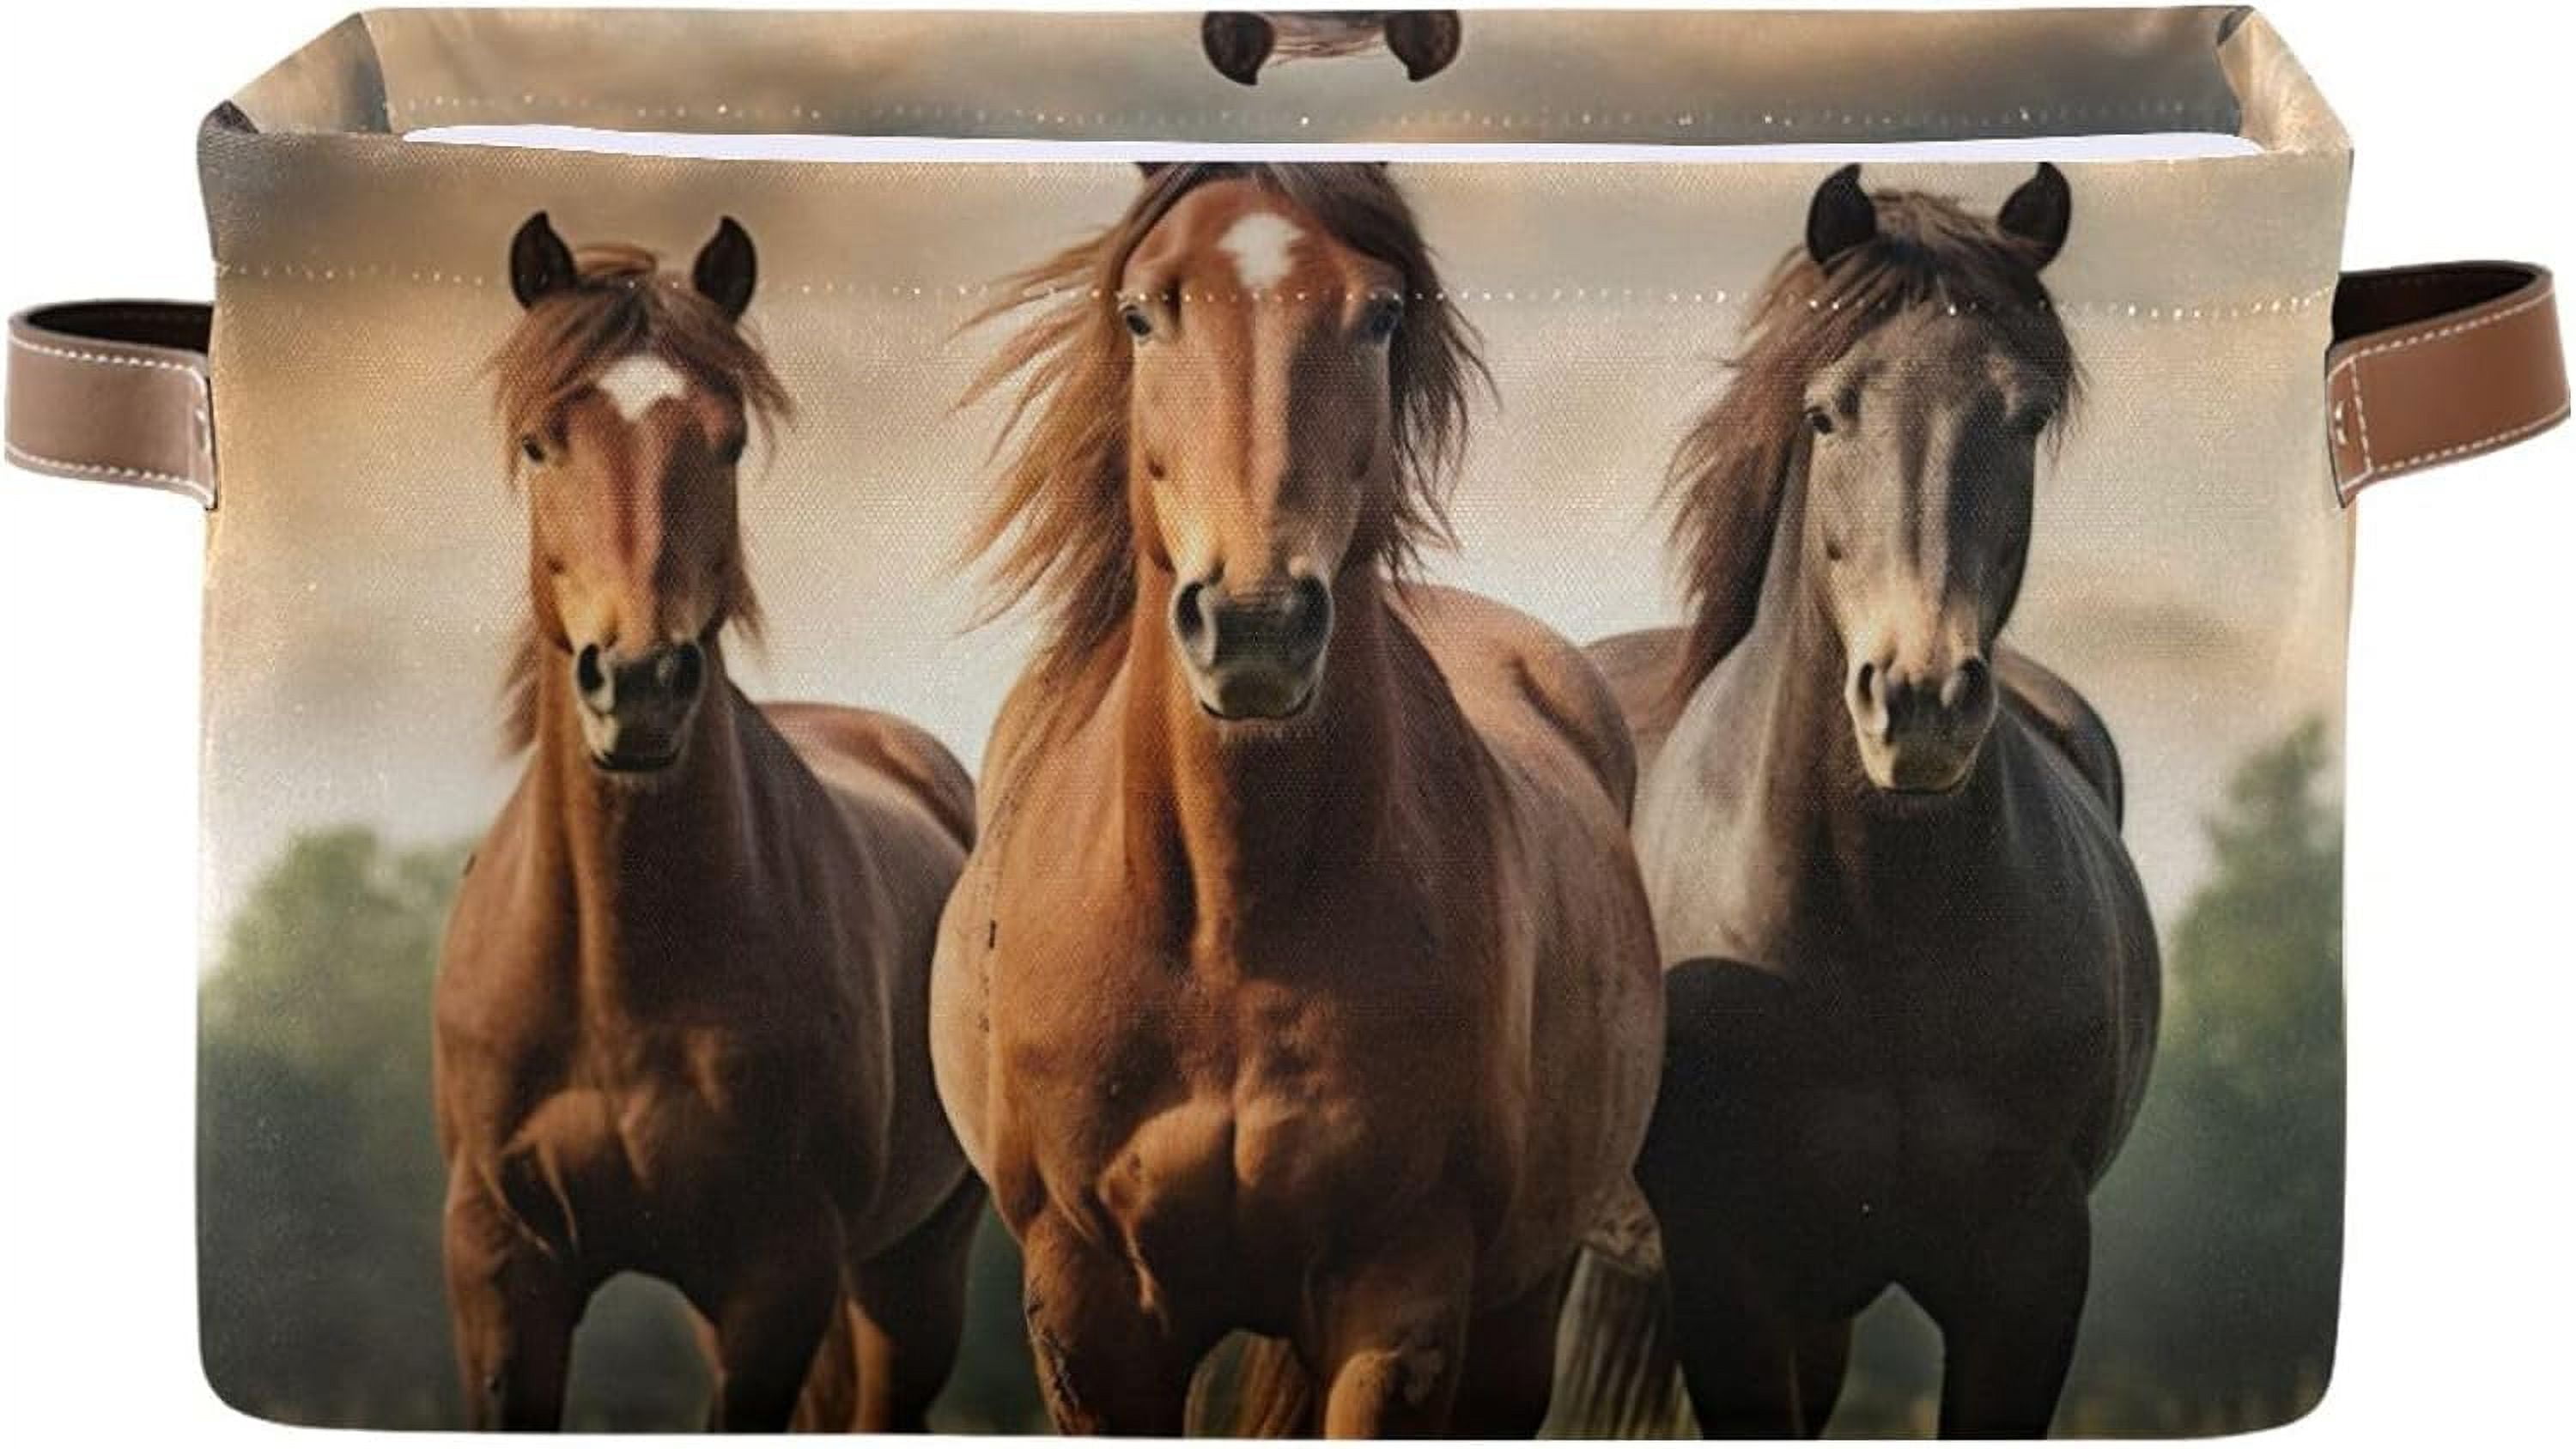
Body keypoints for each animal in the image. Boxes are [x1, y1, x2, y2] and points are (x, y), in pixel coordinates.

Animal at [430, 213, 983, 1431]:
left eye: (726, 443)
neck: (622, 967)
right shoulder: (502, 1266)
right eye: (541, 443)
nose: (640, 683)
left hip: (913, 1267)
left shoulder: (777, 1278)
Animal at [927, 162, 1663, 1437]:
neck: (1234, 921)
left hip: (1518, 1311)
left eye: (1380, 314)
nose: (1258, 624)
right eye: (1143, 312)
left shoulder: (1401, 1300)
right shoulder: (1090, 1314)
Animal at [1575, 164, 2160, 1438]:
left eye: (2025, 417)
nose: (1921, 698)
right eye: (1827, 413)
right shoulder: (1732, 1279)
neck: (1880, 932)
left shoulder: (2029, 1277)